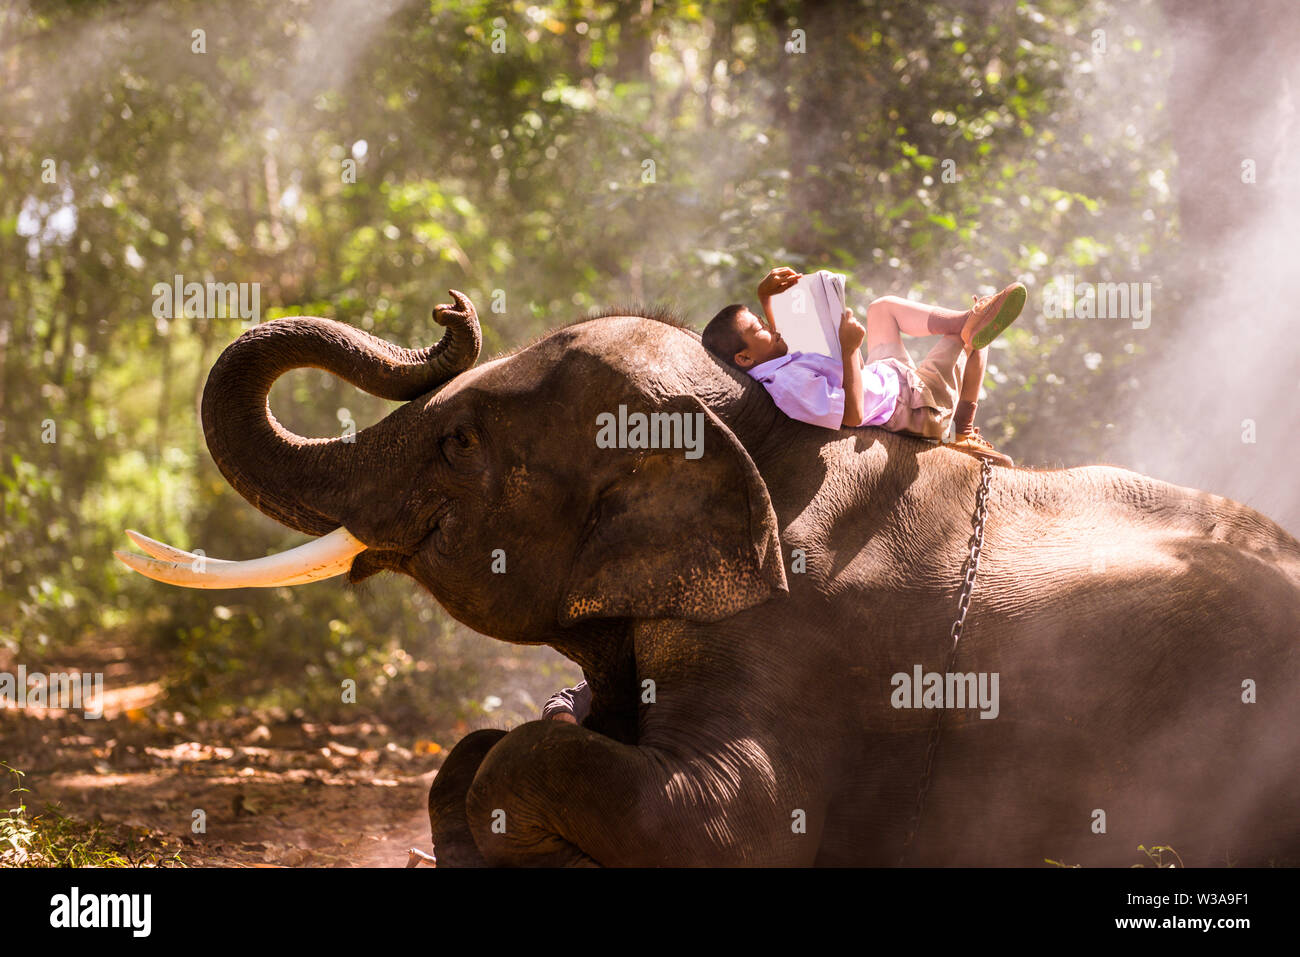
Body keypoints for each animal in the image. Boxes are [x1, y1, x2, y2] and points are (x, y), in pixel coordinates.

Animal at [117, 290, 1300, 866]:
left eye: (459, 442)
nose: (452, 312)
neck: (753, 432)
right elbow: (487, 745)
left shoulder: (803, 638)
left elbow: (722, 821)